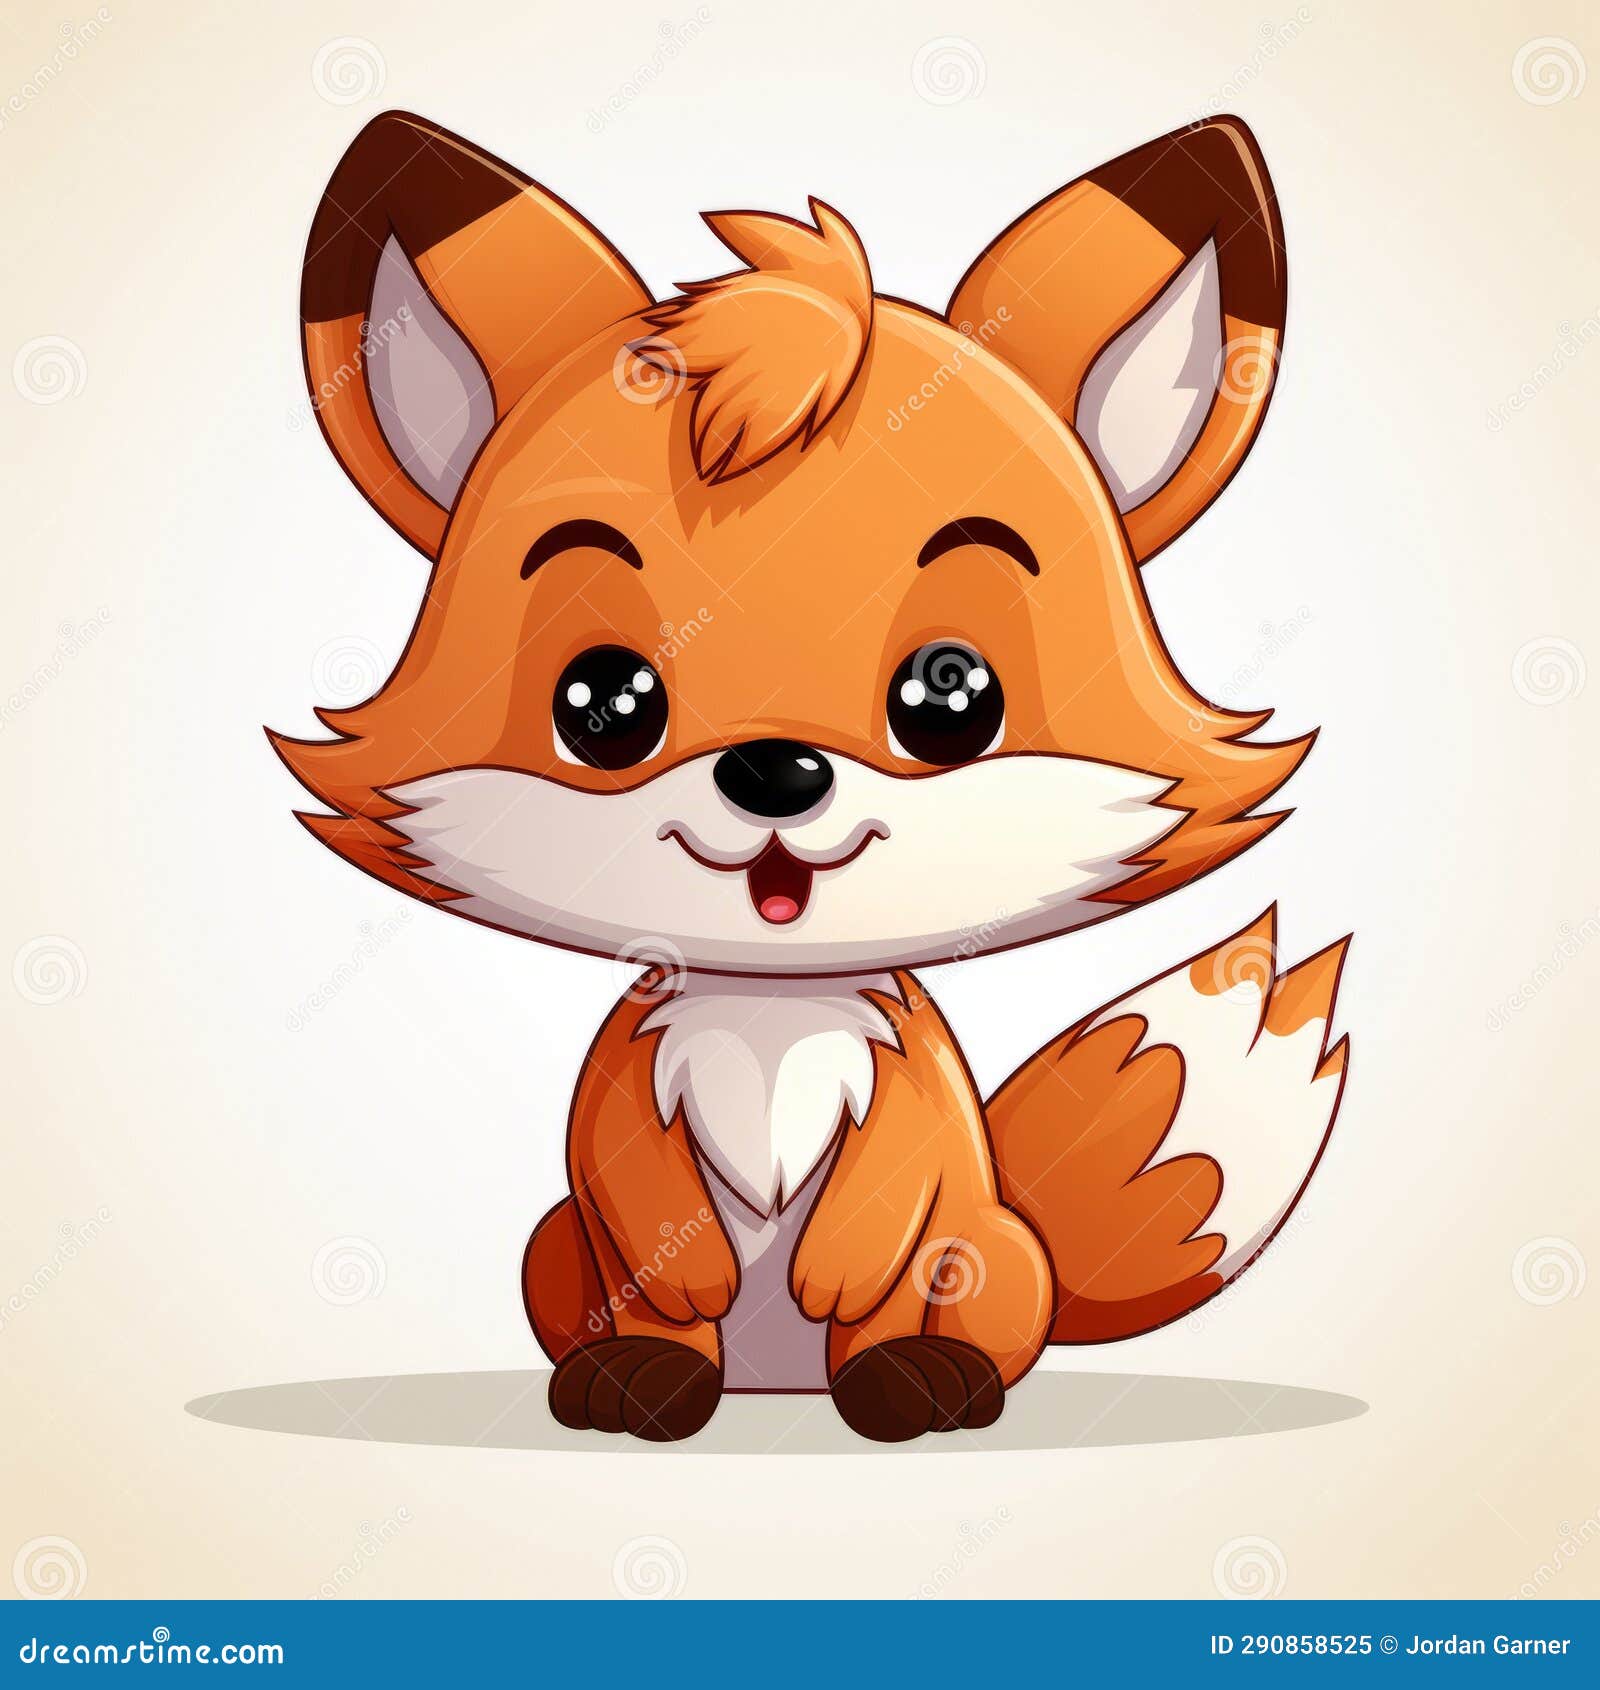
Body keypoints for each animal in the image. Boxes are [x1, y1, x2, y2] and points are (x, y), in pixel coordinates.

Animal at [274, 111, 1350, 1443]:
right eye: (602, 702)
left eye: (952, 695)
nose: (775, 770)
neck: (771, 1004)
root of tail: (772, 1387)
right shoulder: (627, 1081)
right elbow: (625, 1169)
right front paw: (685, 1279)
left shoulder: (908, 1079)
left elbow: (895, 1178)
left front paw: (839, 1270)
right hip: (558, 1249)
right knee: (632, 1310)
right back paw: (638, 1378)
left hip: (986, 1251)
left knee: (943, 1312)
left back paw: (916, 1379)